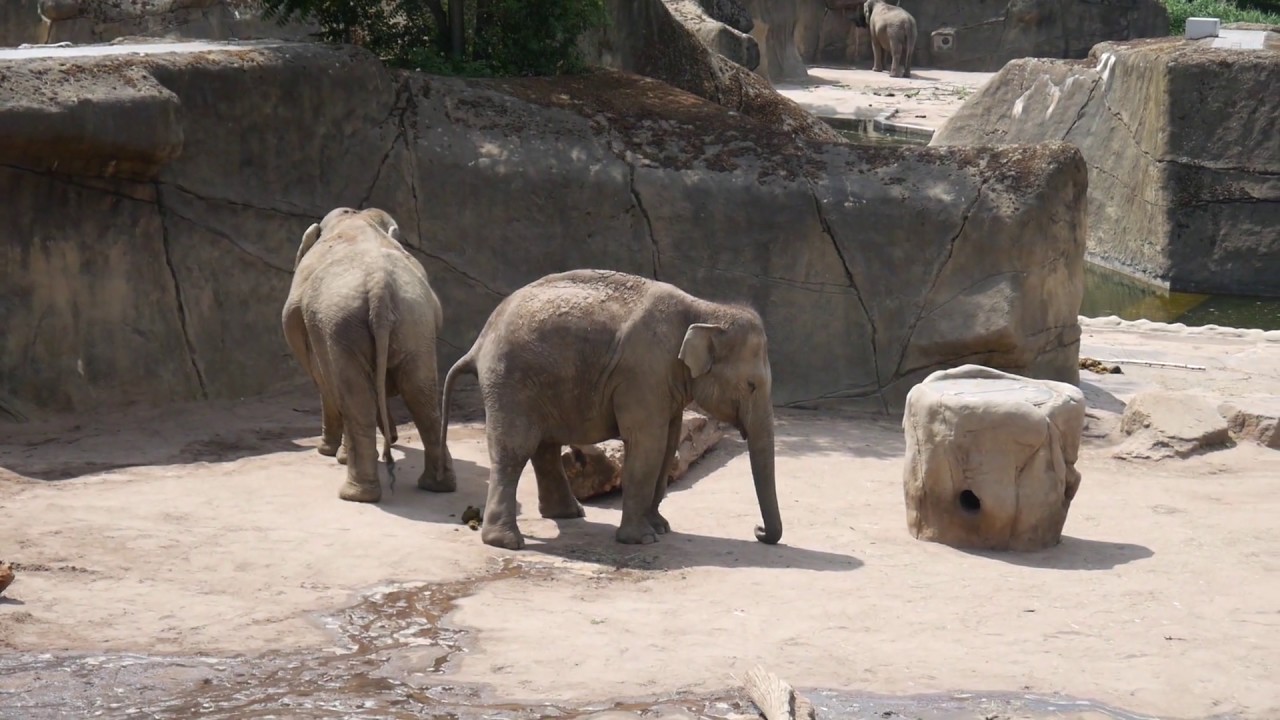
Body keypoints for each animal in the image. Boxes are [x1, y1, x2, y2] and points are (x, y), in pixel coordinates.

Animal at [282, 206, 456, 503]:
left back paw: (355, 494)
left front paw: (329, 452)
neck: (357, 217)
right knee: (421, 395)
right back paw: (437, 485)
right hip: (415, 322)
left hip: (341, 325)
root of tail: (380, 289)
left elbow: (325, 382)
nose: (394, 438)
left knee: (354, 397)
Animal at [438, 269, 783, 550]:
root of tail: (480, 341)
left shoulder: (664, 382)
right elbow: (647, 443)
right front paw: (642, 539)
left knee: (544, 446)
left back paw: (568, 514)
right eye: (751, 385)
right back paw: (507, 542)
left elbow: (668, 443)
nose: (758, 530)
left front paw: (660, 528)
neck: (703, 309)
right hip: (510, 381)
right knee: (515, 448)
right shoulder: (643, 373)